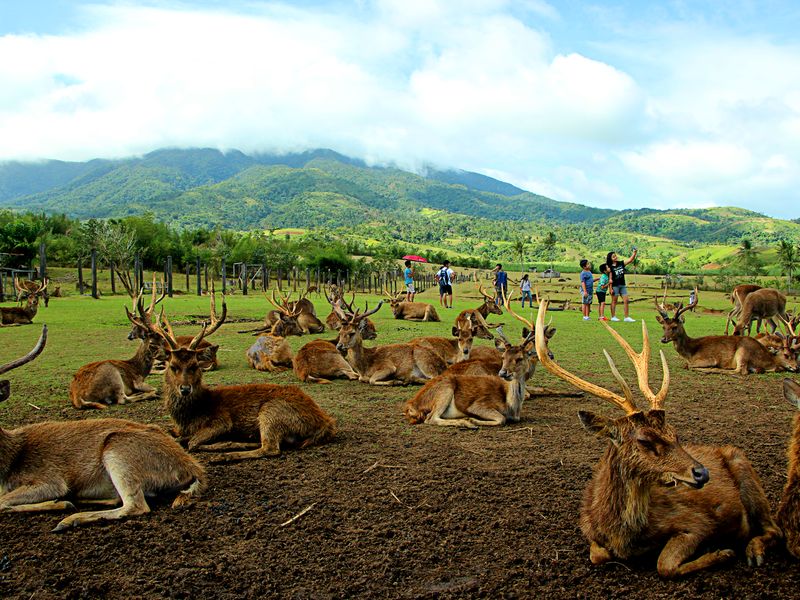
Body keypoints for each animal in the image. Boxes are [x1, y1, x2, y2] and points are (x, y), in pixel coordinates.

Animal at [0, 325, 207, 532]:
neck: (12, 458)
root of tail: (194, 468)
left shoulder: (51, 480)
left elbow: (2, 502)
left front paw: (61, 503)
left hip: (117, 450)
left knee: (135, 505)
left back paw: (68, 519)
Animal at [141, 304, 336, 461]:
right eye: (172, 366)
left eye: (194, 365)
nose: (185, 389)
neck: (188, 416)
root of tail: (325, 422)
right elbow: (169, 434)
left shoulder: (221, 421)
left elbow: (193, 442)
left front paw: (228, 444)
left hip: (271, 411)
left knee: (270, 448)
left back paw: (226, 456)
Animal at [532, 299, 781, 577]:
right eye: (644, 440)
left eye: (675, 433)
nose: (702, 473)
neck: (621, 534)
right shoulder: (589, 531)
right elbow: (597, 555)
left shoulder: (697, 522)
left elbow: (664, 565)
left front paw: (722, 553)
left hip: (746, 471)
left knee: (775, 529)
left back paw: (753, 552)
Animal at [656, 294, 797, 375]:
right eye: (663, 326)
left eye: (674, 327)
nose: (663, 339)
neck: (690, 352)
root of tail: (771, 360)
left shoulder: (708, 358)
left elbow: (688, 365)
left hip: (743, 351)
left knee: (741, 371)